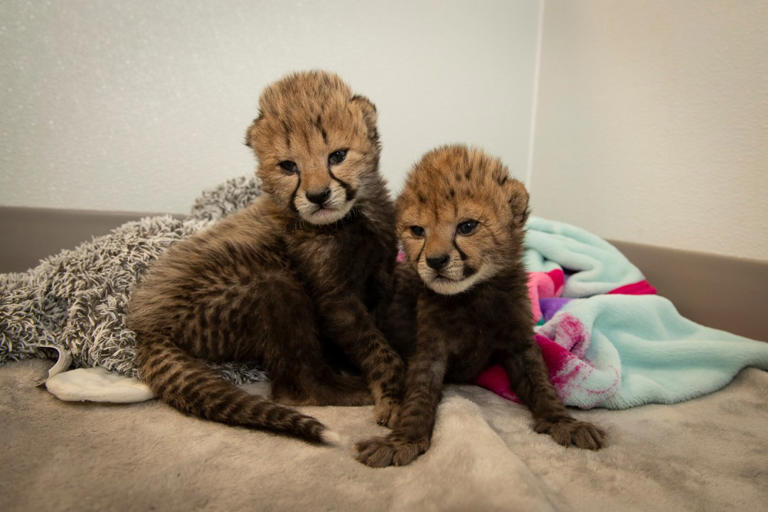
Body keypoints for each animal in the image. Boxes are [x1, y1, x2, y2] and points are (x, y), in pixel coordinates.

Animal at [126, 71, 404, 444]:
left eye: (337, 156)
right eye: (288, 166)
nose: (317, 196)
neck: (350, 217)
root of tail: (146, 325)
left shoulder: (381, 278)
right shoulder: (336, 299)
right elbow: (375, 348)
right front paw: (391, 393)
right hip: (268, 291)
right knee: (294, 387)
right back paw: (345, 390)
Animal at [355, 144, 606, 466]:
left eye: (467, 226)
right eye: (418, 231)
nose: (436, 261)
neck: (473, 295)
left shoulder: (518, 341)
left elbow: (541, 383)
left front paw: (563, 422)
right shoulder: (430, 350)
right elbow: (419, 393)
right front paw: (403, 440)